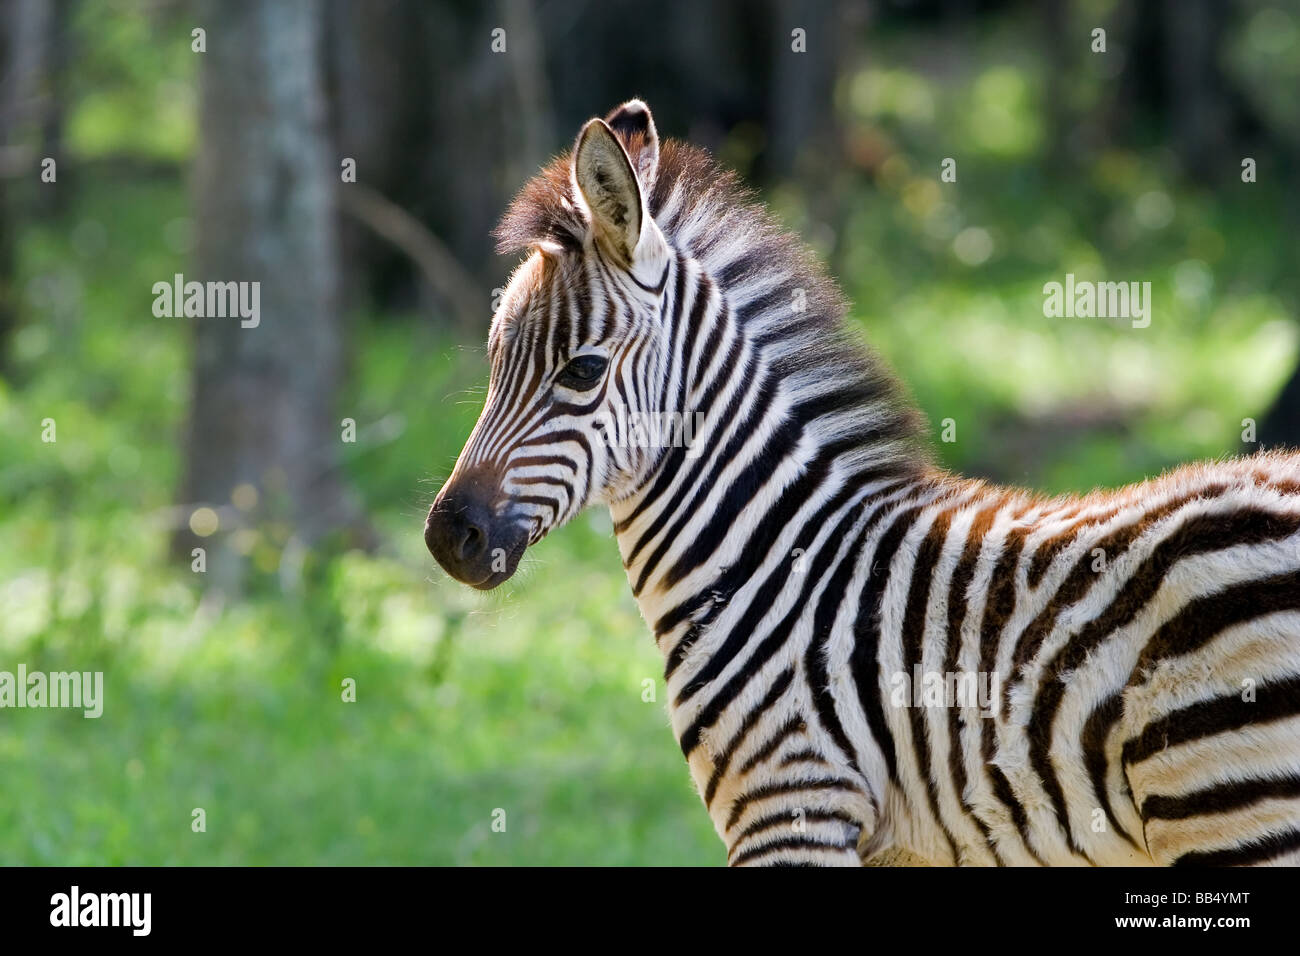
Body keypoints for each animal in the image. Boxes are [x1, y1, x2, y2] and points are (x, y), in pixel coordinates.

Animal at [424, 99, 1300, 867]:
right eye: (495, 360)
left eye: (580, 371)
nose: (446, 538)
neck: (773, 562)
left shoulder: (793, 804)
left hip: (1228, 800)